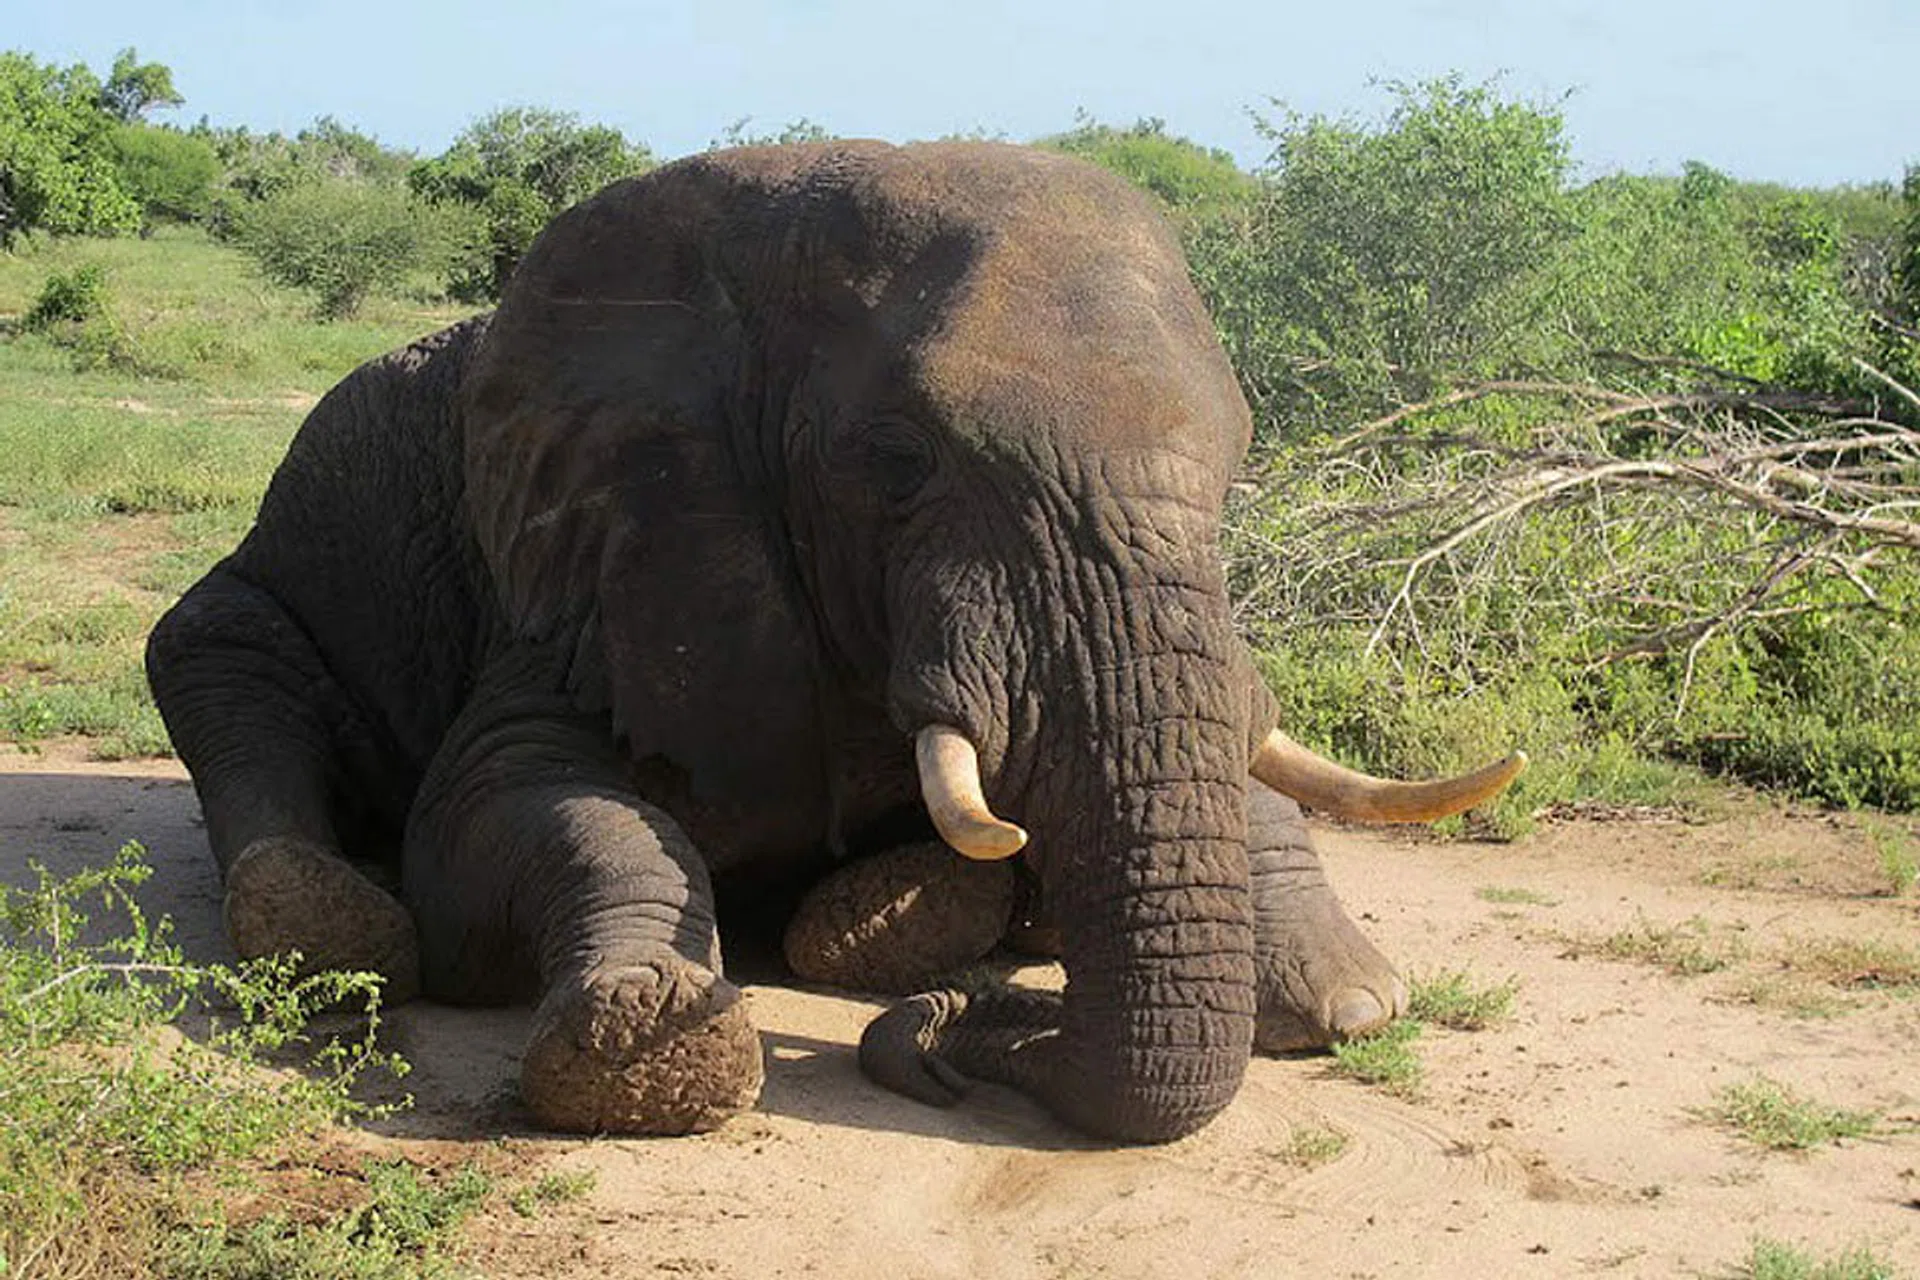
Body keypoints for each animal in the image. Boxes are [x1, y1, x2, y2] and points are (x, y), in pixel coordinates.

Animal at [146, 141, 1522, 1143]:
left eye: (1238, 464)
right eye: (897, 463)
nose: (961, 1039)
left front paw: (1350, 990)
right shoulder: (585, 570)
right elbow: (511, 811)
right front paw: (656, 1037)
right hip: (274, 567)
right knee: (226, 668)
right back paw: (322, 918)